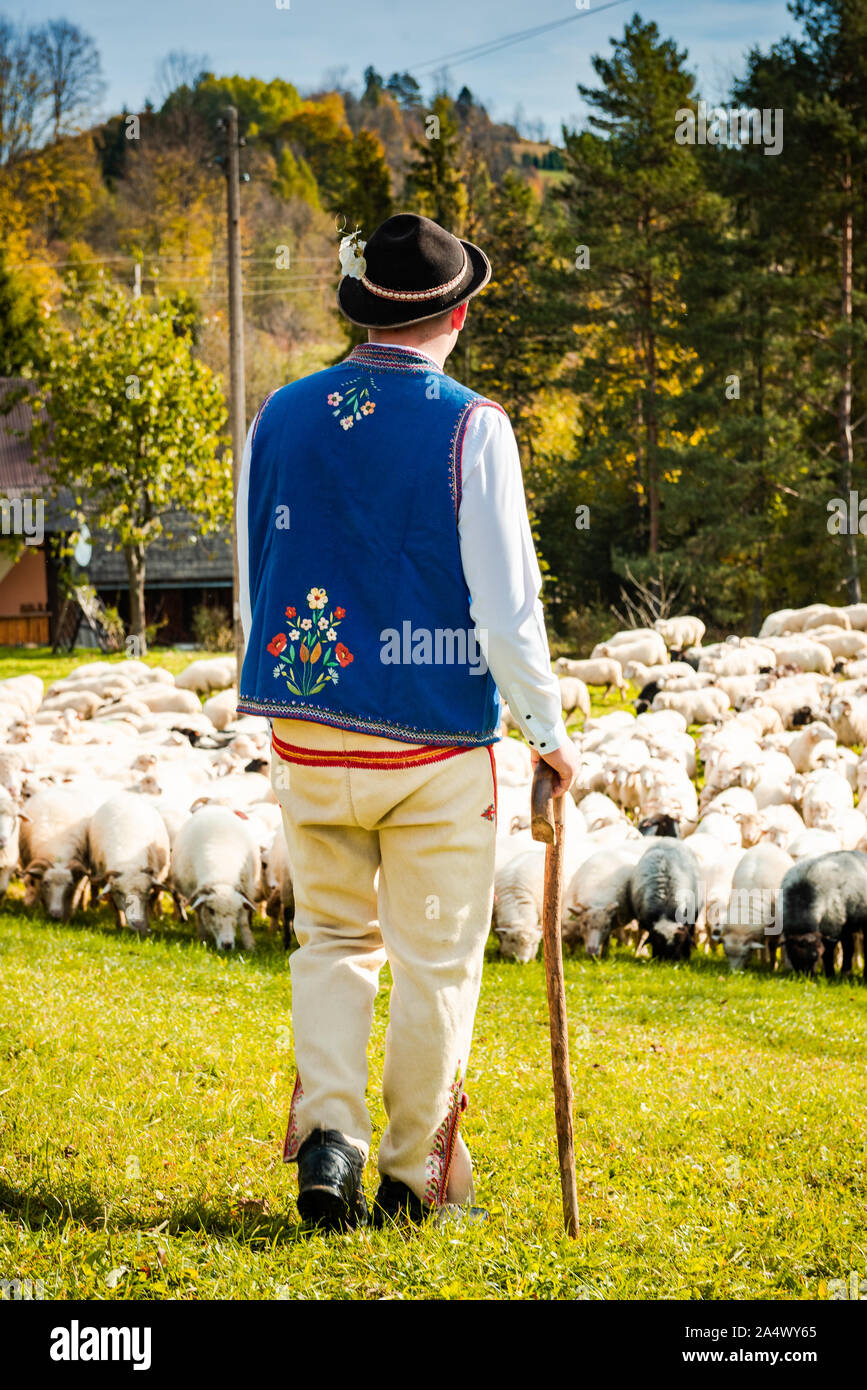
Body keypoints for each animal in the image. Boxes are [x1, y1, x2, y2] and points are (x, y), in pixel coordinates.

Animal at [87, 792, 171, 935]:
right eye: (120, 893)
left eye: (146, 892)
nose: (138, 925)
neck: (128, 861)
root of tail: (126, 795)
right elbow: (115, 907)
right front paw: (120, 925)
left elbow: (152, 900)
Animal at [171, 805, 263, 950]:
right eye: (211, 911)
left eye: (236, 911)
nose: (227, 945)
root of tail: (213, 806)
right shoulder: (192, 893)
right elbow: (200, 915)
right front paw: (202, 939)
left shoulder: (247, 889)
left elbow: (243, 921)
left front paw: (250, 945)